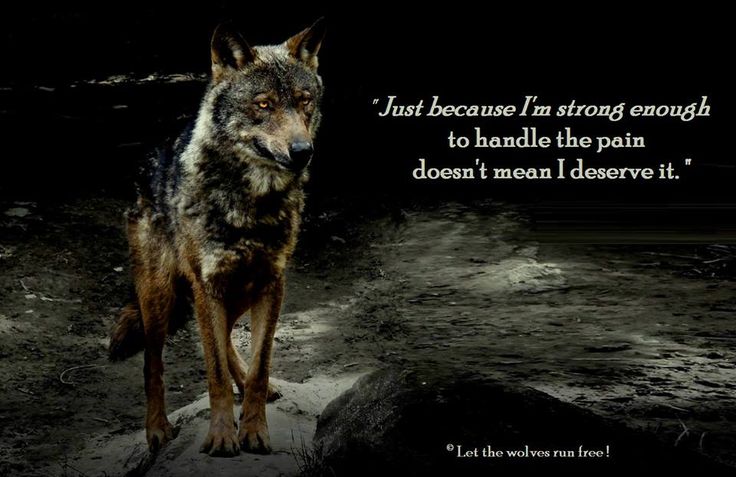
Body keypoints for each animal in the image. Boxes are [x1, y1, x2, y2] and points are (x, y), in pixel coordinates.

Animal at [108, 19, 325, 457]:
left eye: (304, 101)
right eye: (263, 105)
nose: (302, 151)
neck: (251, 202)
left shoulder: (272, 283)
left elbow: (259, 367)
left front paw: (254, 431)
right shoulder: (207, 284)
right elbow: (215, 376)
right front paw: (223, 436)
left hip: (235, 292)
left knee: (223, 340)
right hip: (160, 295)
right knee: (154, 361)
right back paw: (157, 429)